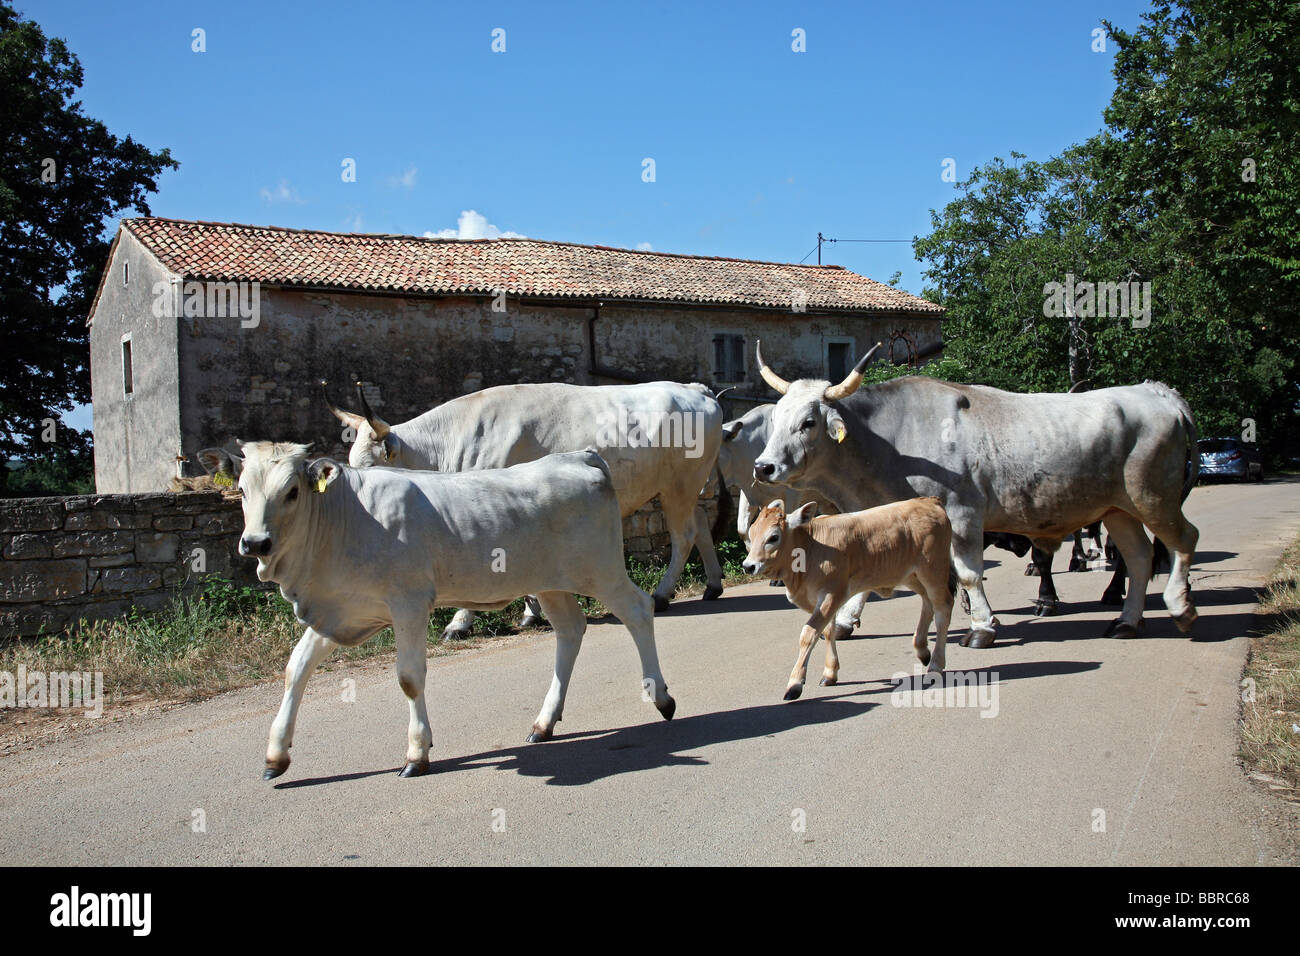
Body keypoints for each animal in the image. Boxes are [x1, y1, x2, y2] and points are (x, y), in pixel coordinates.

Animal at [220, 441, 675, 780]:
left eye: (292, 491)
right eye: (241, 491)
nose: (255, 542)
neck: (345, 519)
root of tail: (579, 456)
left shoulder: (408, 601)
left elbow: (408, 678)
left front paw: (416, 753)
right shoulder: (342, 608)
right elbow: (296, 668)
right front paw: (276, 755)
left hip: (601, 569)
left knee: (637, 610)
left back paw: (661, 696)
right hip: (550, 583)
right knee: (570, 630)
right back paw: (544, 723)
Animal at [326, 381, 730, 637]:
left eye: (369, 469)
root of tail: (695, 389)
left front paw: (459, 623)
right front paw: (531, 612)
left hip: (680, 484)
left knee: (683, 535)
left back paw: (662, 595)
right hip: (681, 486)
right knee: (699, 524)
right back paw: (712, 585)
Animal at [742, 497, 956, 701]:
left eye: (773, 537)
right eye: (751, 535)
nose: (748, 566)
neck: (810, 547)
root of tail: (929, 501)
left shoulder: (831, 594)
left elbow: (809, 634)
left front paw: (794, 684)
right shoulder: (823, 601)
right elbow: (827, 631)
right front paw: (830, 673)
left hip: (933, 570)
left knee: (943, 608)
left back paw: (936, 665)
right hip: (912, 576)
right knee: (927, 603)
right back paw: (922, 650)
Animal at [751, 342, 1200, 648]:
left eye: (808, 422)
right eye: (777, 418)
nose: (763, 467)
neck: (890, 443)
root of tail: (1157, 392)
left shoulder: (962, 513)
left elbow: (968, 573)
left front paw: (983, 628)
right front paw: (844, 622)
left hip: (1153, 498)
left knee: (1182, 541)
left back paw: (1179, 606)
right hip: (1118, 510)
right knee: (1139, 558)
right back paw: (1127, 621)